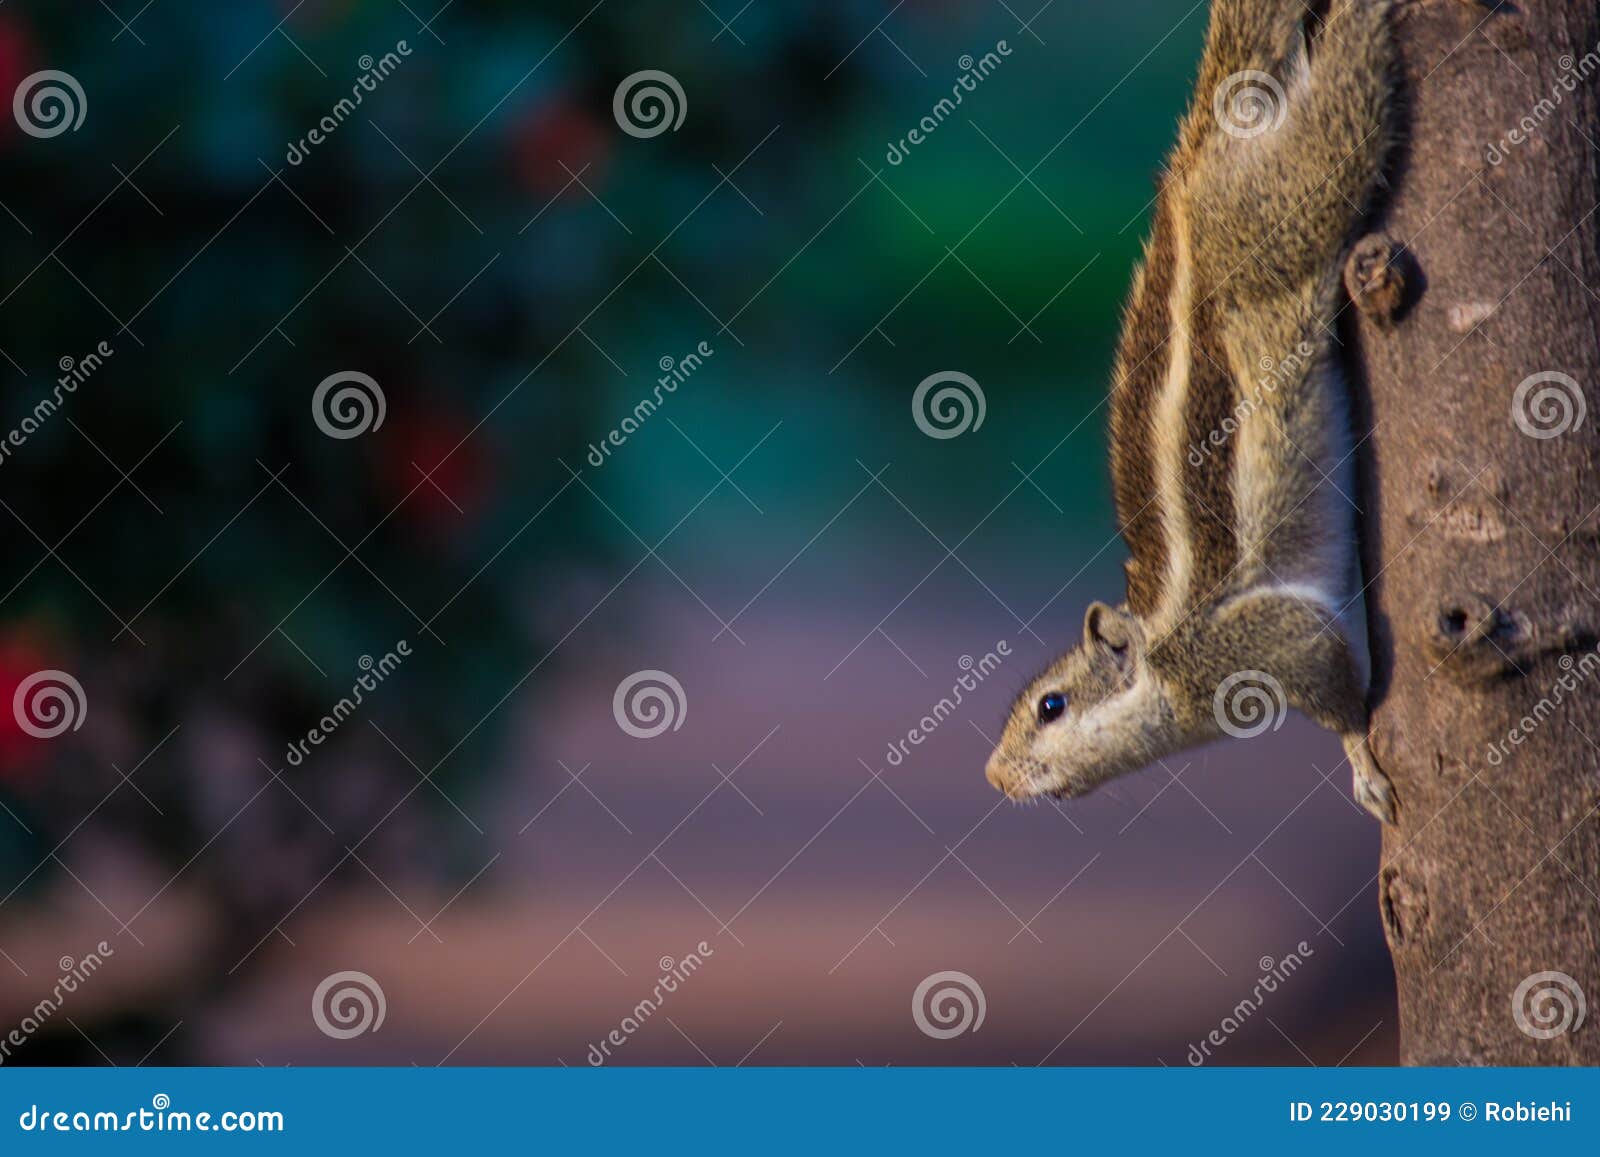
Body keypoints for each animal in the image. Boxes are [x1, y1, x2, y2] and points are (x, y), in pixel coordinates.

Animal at [984, 0, 1400, 822]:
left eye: (1051, 706)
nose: (994, 776)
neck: (1162, 654)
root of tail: (1187, 176)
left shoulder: (1268, 641)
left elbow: (1339, 696)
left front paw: (1363, 767)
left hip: (1284, 210)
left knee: (1342, 109)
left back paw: (1368, 17)